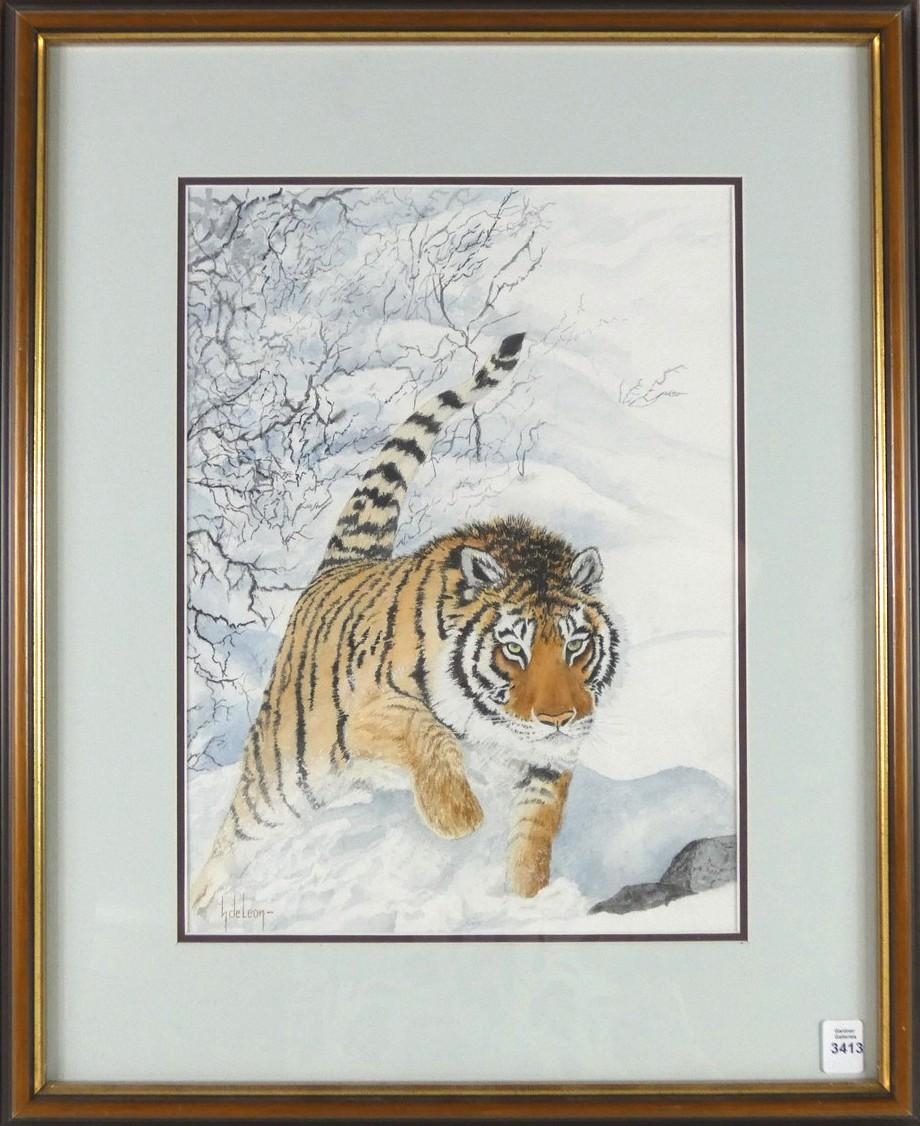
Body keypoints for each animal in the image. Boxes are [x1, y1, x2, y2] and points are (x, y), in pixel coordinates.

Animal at [190, 332, 618, 913]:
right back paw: (203, 900)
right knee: (232, 838)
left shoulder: (546, 762)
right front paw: (460, 819)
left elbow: (534, 837)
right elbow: (426, 731)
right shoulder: (370, 713)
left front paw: (529, 902)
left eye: (576, 645)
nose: (558, 719)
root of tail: (341, 564)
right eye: (514, 648)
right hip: (281, 778)